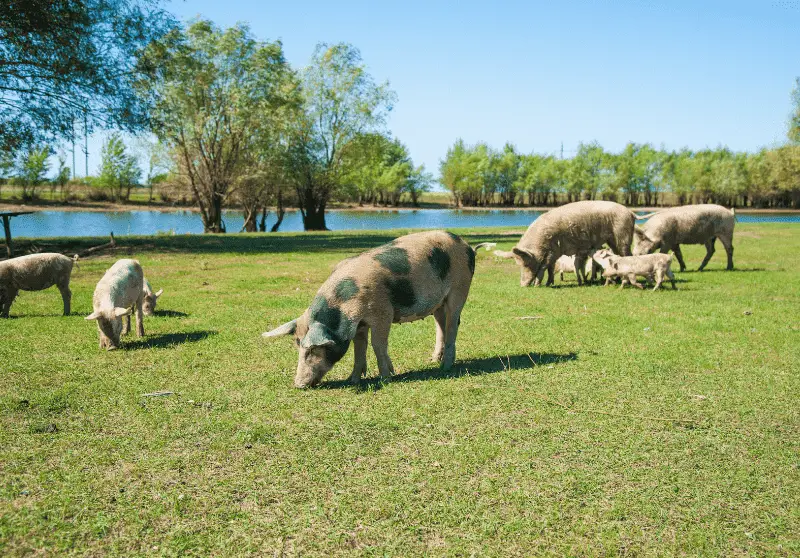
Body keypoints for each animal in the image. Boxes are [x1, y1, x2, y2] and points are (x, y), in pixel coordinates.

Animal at [263, 230, 496, 388]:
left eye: (312, 350)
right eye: (298, 345)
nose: (298, 384)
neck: (344, 307)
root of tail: (467, 246)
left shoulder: (383, 313)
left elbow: (378, 345)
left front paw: (386, 378)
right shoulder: (359, 325)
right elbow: (359, 348)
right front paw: (353, 379)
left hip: (459, 288)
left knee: (453, 323)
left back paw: (445, 367)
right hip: (438, 302)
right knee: (441, 324)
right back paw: (432, 360)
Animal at [493, 201, 637, 287]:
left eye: (526, 263)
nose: (522, 285)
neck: (539, 244)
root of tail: (630, 212)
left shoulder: (552, 251)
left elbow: (544, 267)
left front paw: (538, 285)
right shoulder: (555, 251)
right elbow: (551, 268)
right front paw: (548, 284)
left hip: (623, 234)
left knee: (627, 254)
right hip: (613, 240)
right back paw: (616, 280)